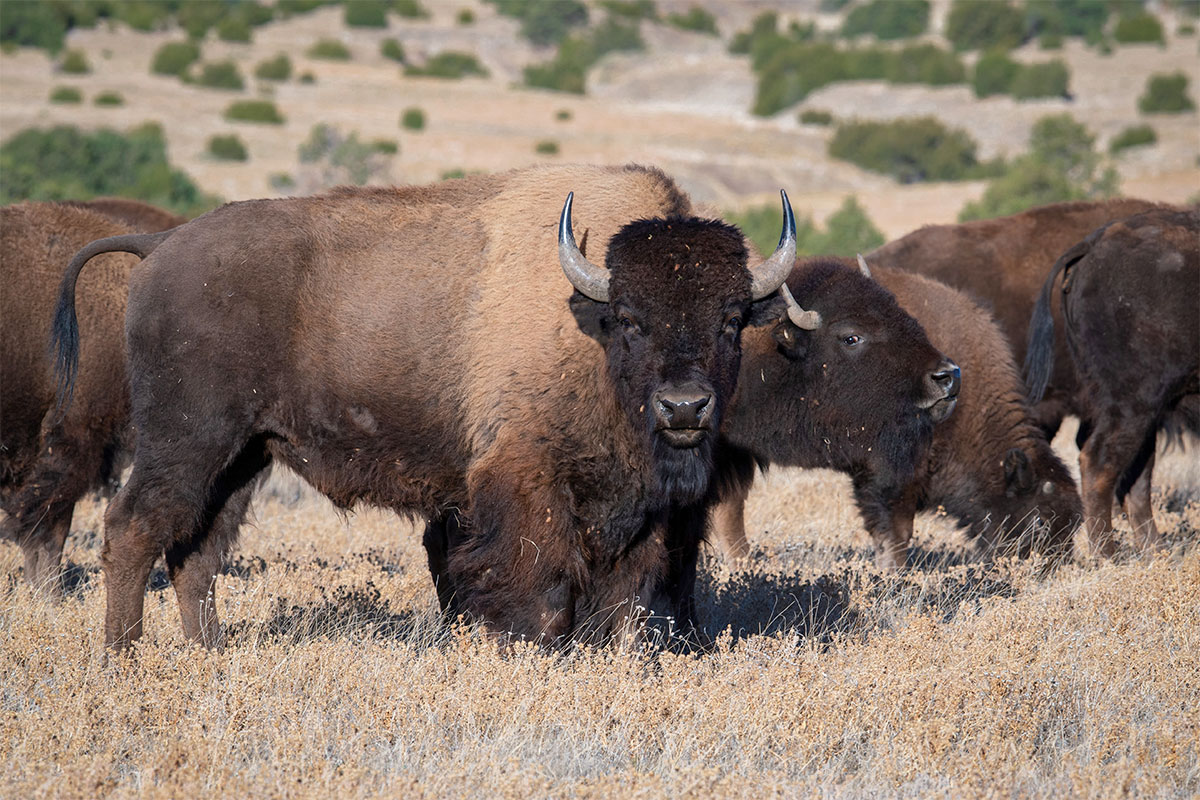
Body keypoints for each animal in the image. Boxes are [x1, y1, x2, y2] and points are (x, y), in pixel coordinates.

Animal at [52, 164, 801, 650]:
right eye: (631, 319)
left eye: (732, 320)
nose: (684, 408)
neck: (583, 323)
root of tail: (159, 247)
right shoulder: (522, 482)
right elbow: (540, 588)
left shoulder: (642, 507)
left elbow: (627, 601)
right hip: (186, 441)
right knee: (133, 528)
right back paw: (123, 658)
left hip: (243, 456)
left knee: (197, 551)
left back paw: (209, 651)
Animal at [1026, 207, 1199, 556]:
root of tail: (1093, 243)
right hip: (1136, 402)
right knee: (1100, 462)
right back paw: (1107, 554)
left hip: (1142, 412)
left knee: (1136, 475)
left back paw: (1153, 552)